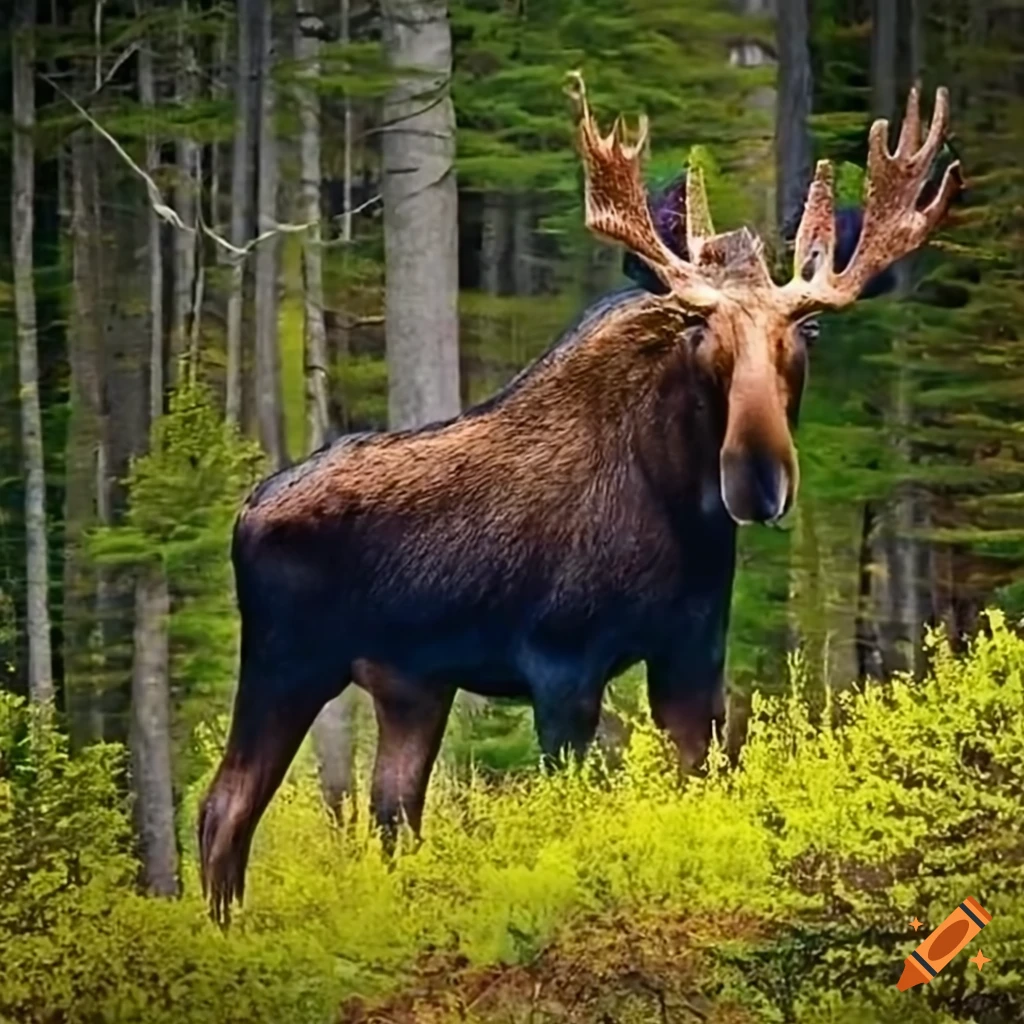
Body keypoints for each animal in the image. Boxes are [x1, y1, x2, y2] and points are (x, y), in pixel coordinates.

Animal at [199, 73, 962, 923]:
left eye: (807, 335)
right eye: (698, 329)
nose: (756, 475)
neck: (680, 509)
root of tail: (245, 511)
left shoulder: (691, 660)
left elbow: (691, 788)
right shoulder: (560, 667)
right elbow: (569, 810)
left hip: (409, 687)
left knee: (390, 809)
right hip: (288, 662)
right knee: (226, 805)